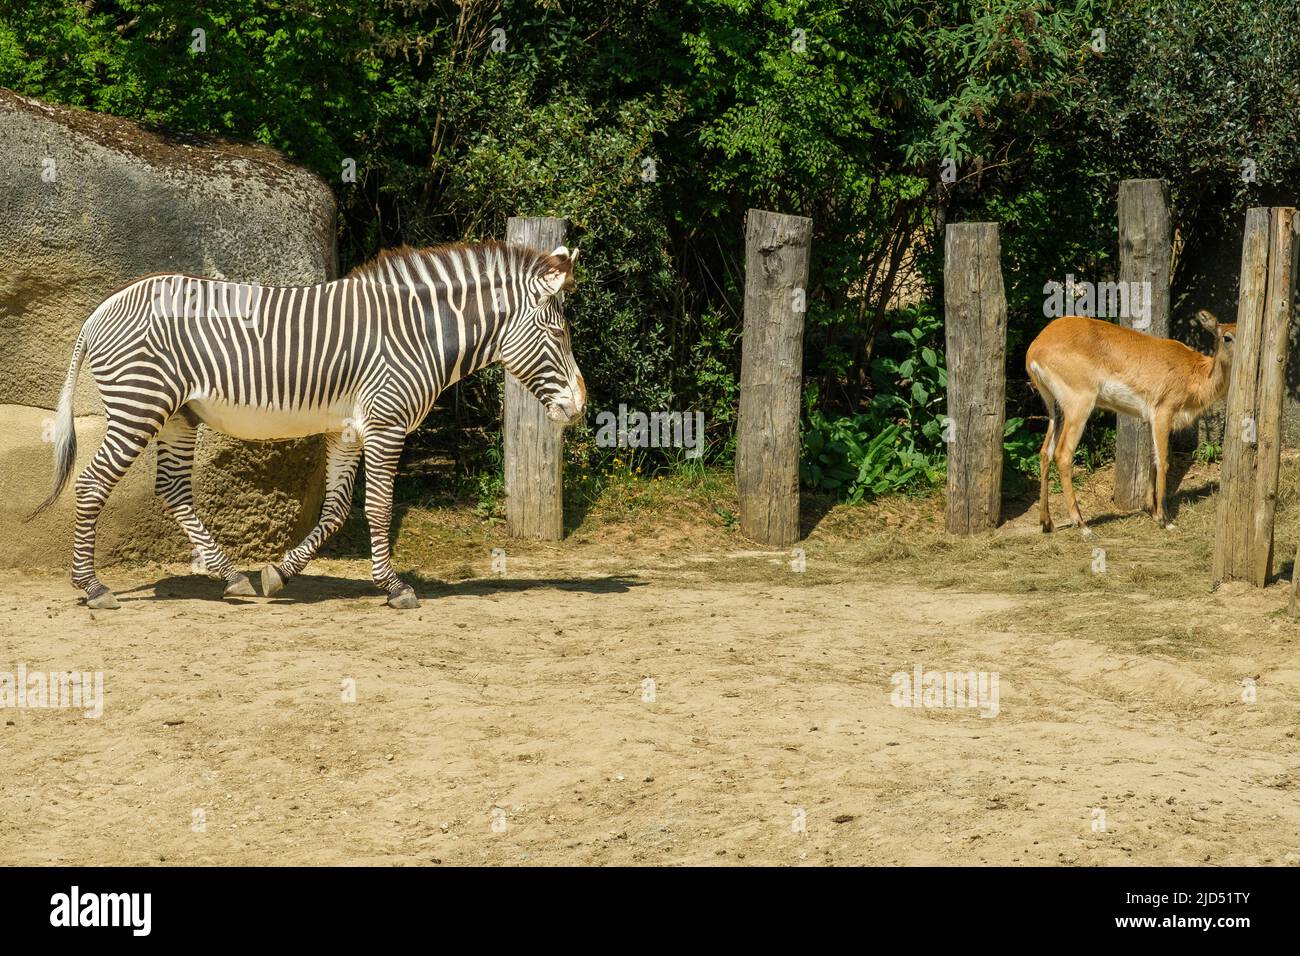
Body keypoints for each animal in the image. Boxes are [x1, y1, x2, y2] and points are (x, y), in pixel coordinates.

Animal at [29, 241, 586, 610]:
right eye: (558, 333)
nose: (581, 406)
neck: (417, 333)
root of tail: (100, 309)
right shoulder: (386, 423)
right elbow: (378, 508)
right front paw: (395, 589)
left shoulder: (348, 430)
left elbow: (337, 511)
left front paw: (277, 574)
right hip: (139, 406)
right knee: (93, 484)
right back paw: (93, 587)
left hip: (177, 416)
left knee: (172, 488)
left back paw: (232, 578)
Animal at [1025, 309, 1236, 535]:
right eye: (1227, 337)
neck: (1195, 374)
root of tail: (1034, 350)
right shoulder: (1163, 413)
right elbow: (1163, 460)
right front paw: (1165, 520)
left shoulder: (1150, 419)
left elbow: (1152, 458)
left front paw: (1152, 511)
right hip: (1079, 405)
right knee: (1063, 454)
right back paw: (1082, 526)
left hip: (1055, 409)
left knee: (1044, 452)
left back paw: (1047, 523)